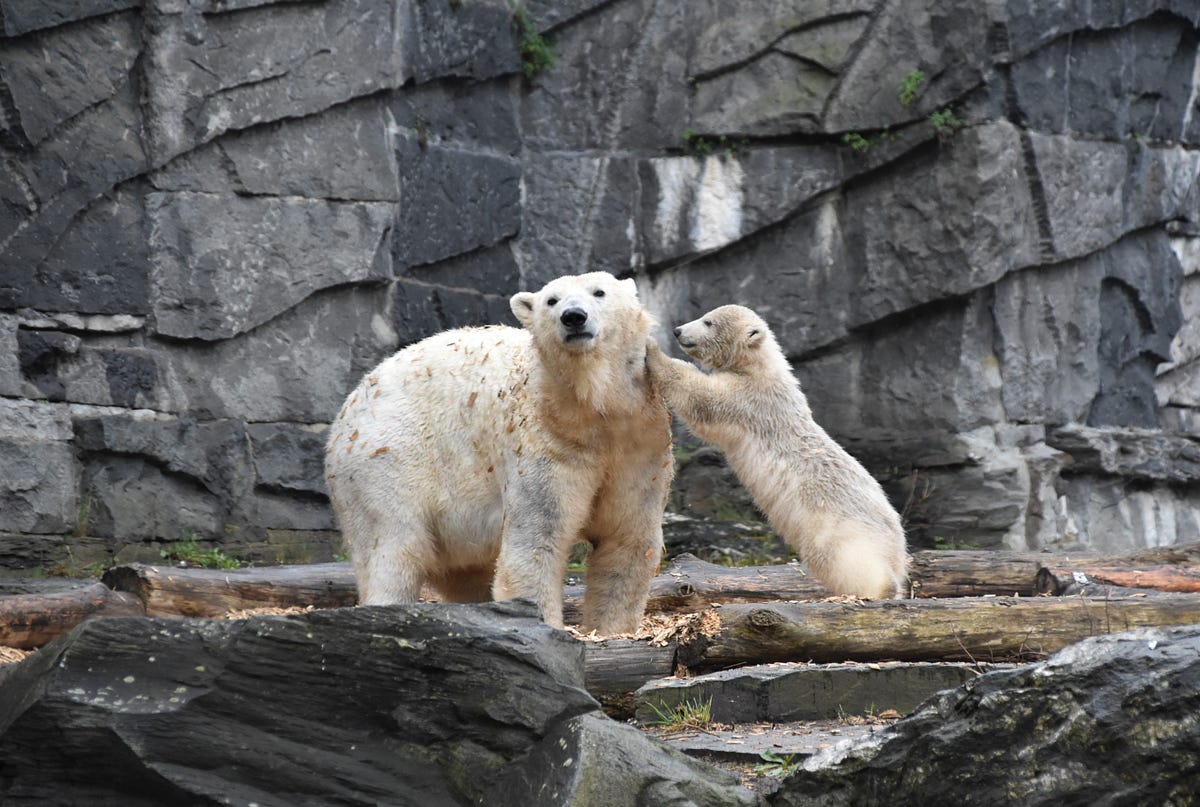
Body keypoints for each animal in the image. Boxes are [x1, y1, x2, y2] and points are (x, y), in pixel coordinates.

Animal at [324, 272, 673, 633]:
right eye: (552, 300)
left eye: (599, 292)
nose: (574, 317)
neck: (590, 412)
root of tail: (347, 408)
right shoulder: (547, 447)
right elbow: (535, 544)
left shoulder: (637, 446)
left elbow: (627, 540)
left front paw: (609, 631)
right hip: (385, 459)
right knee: (395, 547)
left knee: (465, 572)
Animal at [644, 304, 908, 599]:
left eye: (708, 322)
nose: (677, 330)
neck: (760, 367)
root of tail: (895, 541)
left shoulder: (749, 399)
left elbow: (701, 397)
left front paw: (652, 348)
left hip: (839, 528)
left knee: (844, 560)